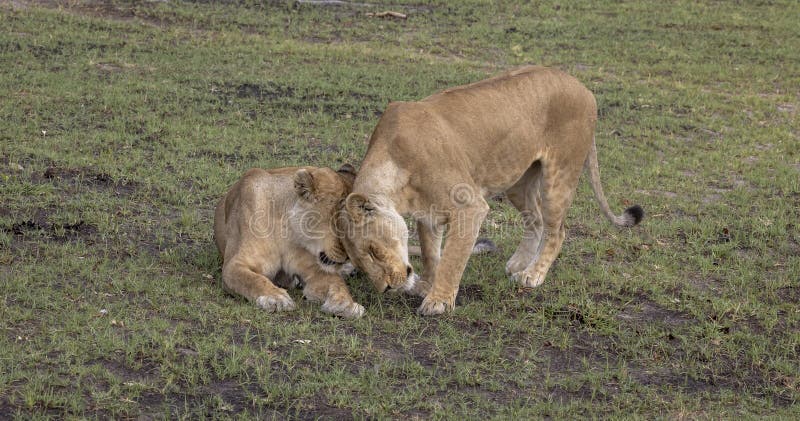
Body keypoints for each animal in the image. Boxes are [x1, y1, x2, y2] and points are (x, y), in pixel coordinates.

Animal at [214, 164, 365, 318]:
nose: (349, 255)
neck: (287, 232)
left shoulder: (315, 268)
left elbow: (337, 283)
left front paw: (346, 304)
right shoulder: (234, 265)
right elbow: (253, 279)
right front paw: (276, 298)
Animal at [337, 66, 643, 316]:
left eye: (374, 251)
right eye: (359, 262)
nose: (388, 288)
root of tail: (585, 88)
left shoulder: (469, 206)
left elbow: (452, 258)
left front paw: (439, 301)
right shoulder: (428, 214)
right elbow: (430, 253)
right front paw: (426, 285)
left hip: (560, 176)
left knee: (557, 231)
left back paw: (532, 275)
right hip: (518, 180)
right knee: (536, 219)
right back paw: (519, 263)